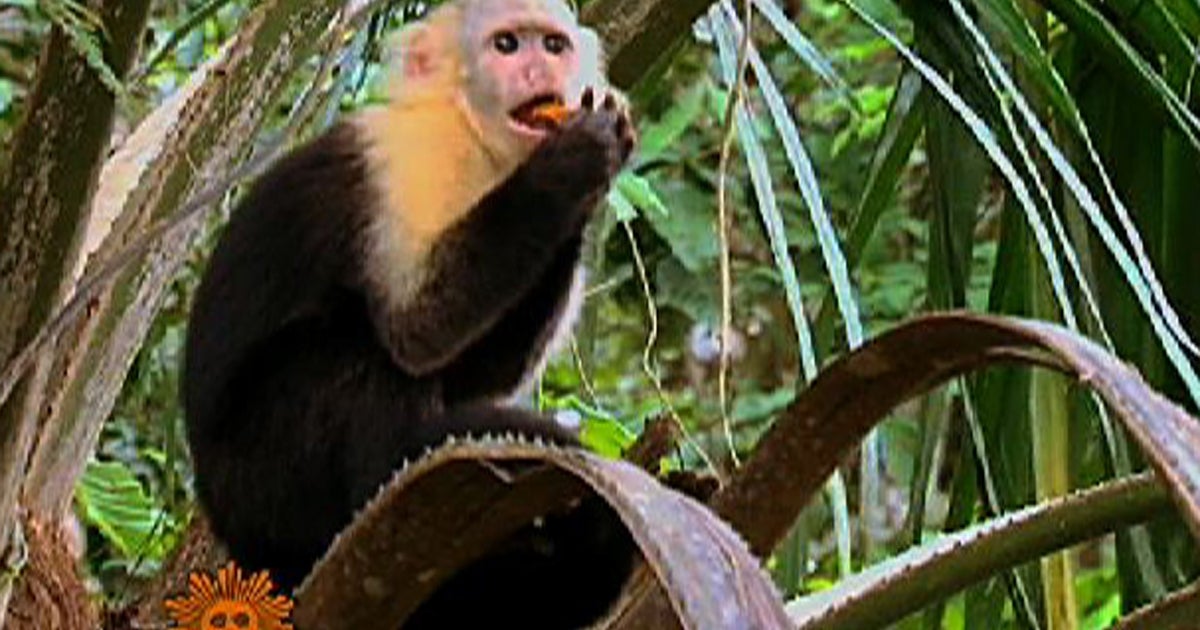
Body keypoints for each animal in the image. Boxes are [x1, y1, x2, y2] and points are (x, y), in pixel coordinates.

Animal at [182, 0, 637, 626]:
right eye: (506, 45)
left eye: (553, 45)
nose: (538, 69)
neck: (476, 136)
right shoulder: (416, 162)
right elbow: (415, 330)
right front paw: (566, 170)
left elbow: (476, 375)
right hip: (257, 483)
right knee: (351, 349)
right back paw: (398, 471)